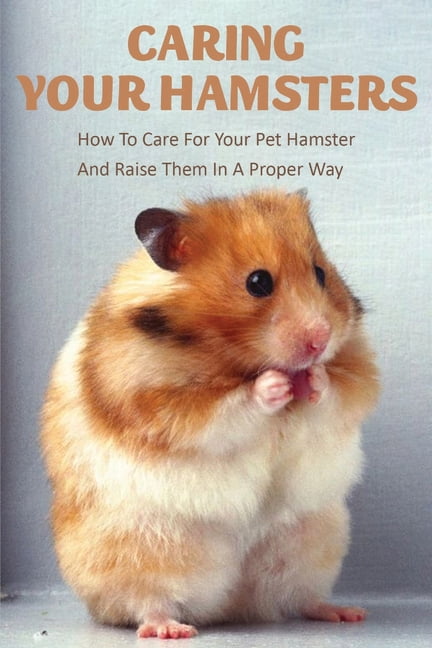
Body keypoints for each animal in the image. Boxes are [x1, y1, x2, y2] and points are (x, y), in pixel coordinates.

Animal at [41, 189, 379, 639]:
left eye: (321, 273)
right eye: (258, 282)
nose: (319, 340)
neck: (230, 357)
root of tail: (227, 606)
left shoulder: (359, 374)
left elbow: (342, 391)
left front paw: (314, 377)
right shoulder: (156, 402)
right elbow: (223, 408)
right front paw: (275, 384)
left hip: (312, 540)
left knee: (298, 597)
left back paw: (344, 613)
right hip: (139, 548)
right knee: (147, 601)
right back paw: (170, 631)